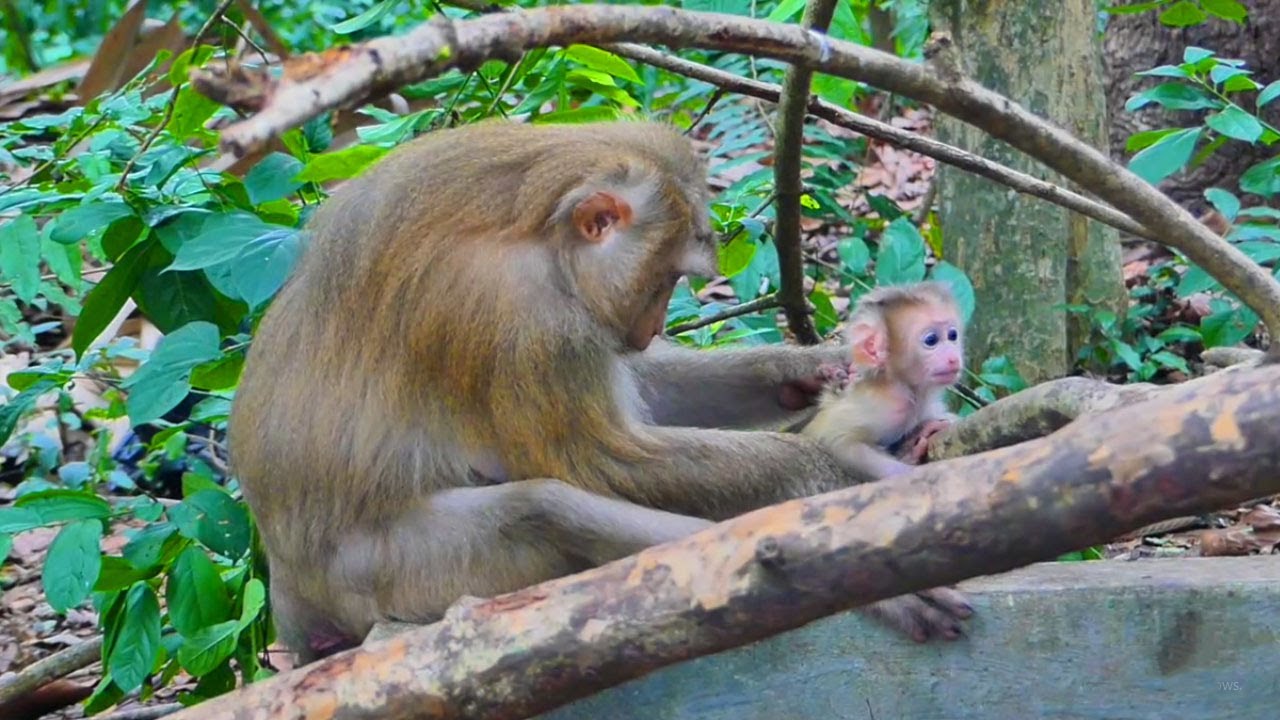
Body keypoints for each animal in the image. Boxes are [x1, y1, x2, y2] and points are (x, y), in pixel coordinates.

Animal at [802, 281, 965, 478]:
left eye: (953, 335)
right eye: (931, 339)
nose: (953, 358)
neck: (903, 386)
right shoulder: (887, 407)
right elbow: (837, 441)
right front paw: (911, 470)